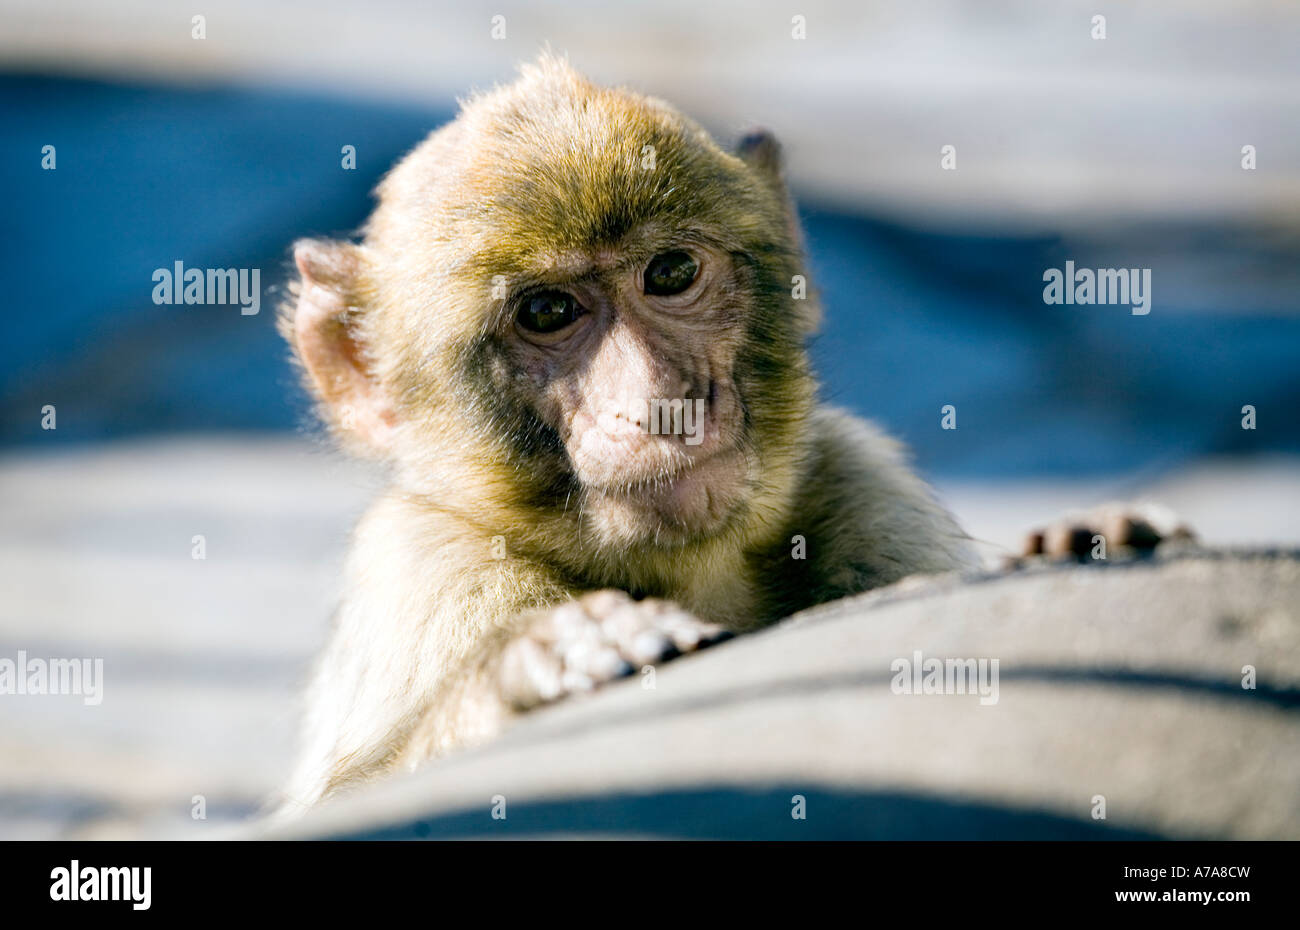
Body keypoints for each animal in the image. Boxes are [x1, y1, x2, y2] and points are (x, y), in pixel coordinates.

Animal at [274, 55, 983, 816]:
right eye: (547, 311)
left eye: (671, 272)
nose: (660, 402)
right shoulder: (424, 559)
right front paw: (520, 676)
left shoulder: (866, 485)